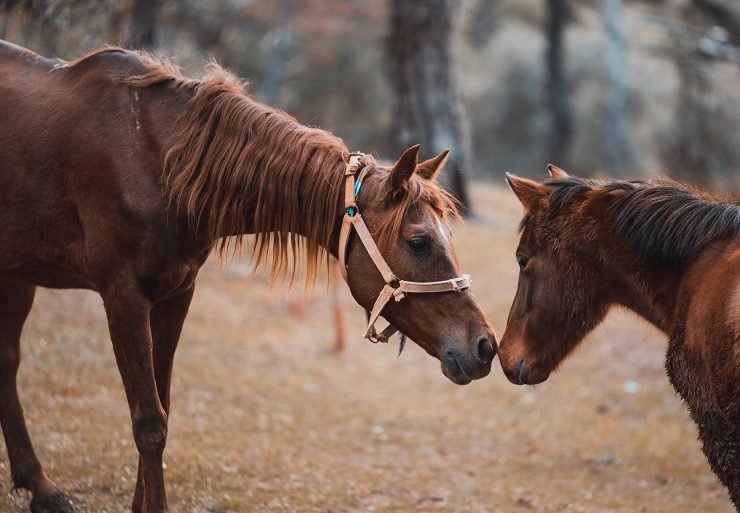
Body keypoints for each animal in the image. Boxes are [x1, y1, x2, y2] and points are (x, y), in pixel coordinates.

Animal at [0, 40, 496, 513]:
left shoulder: (176, 294)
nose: (484, 346)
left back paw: (41, 488)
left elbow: (162, 405)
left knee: (7, 361)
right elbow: (149, 420)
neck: (157, 161)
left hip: (18, 276)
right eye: (419, 242)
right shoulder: (123, 296)